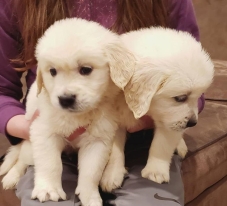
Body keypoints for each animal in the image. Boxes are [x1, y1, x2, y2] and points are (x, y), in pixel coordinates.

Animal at [100, 27, 215, 192]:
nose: (193, 123)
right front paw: (111, 175)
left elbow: (161, 145)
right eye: (181, 98)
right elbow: (114, 151)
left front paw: (155, 172)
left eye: (198, 96)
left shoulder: (169, 121)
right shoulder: (114, 119)